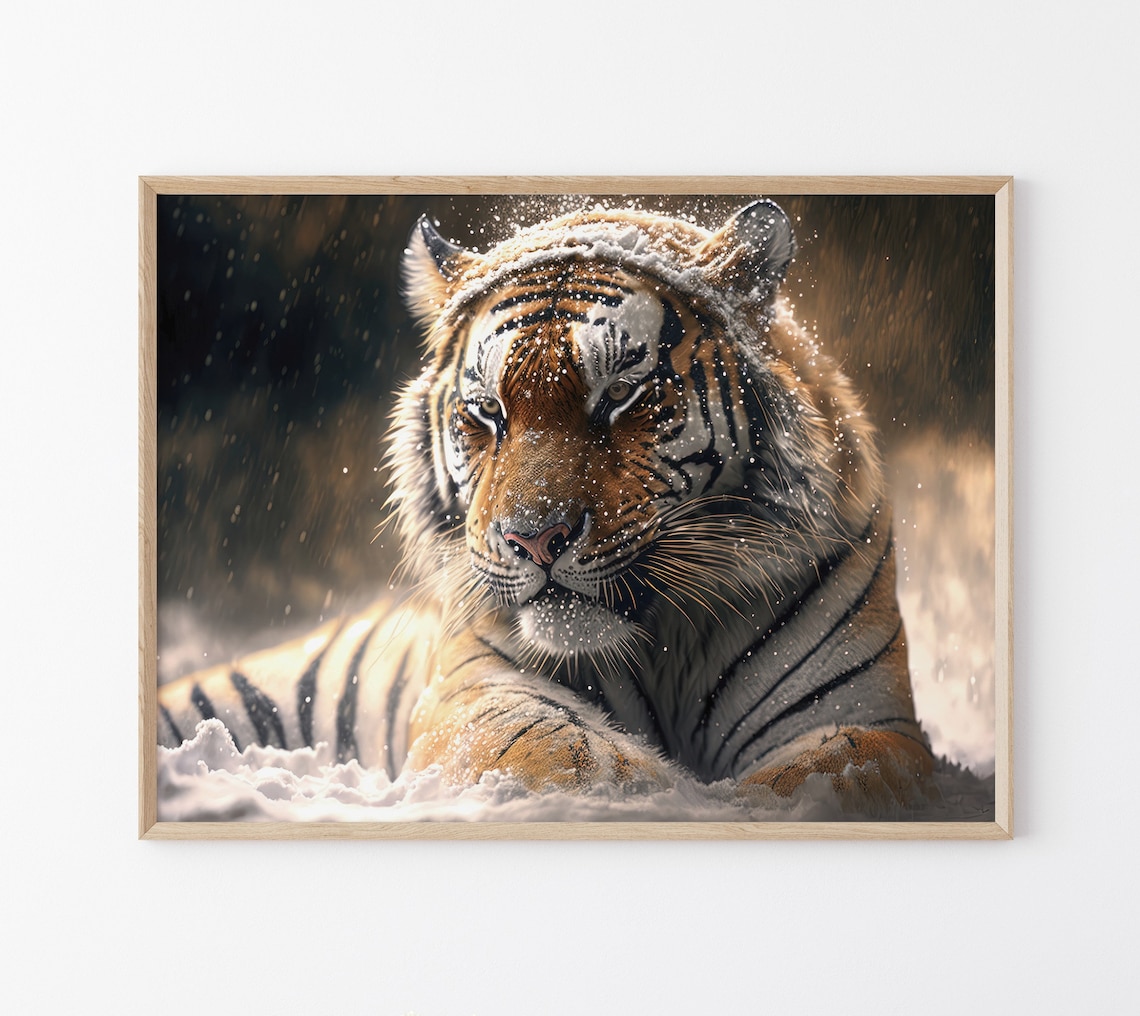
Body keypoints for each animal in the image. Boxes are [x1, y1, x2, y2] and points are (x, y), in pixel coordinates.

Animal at [157, 199, 933, 808]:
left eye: (621, 393)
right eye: (488, 411)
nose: (533, 540)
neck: (664, 646)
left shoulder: (863, 716)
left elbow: (829, 773)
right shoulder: (473, 689)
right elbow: (548, 748)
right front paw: (647, 794)